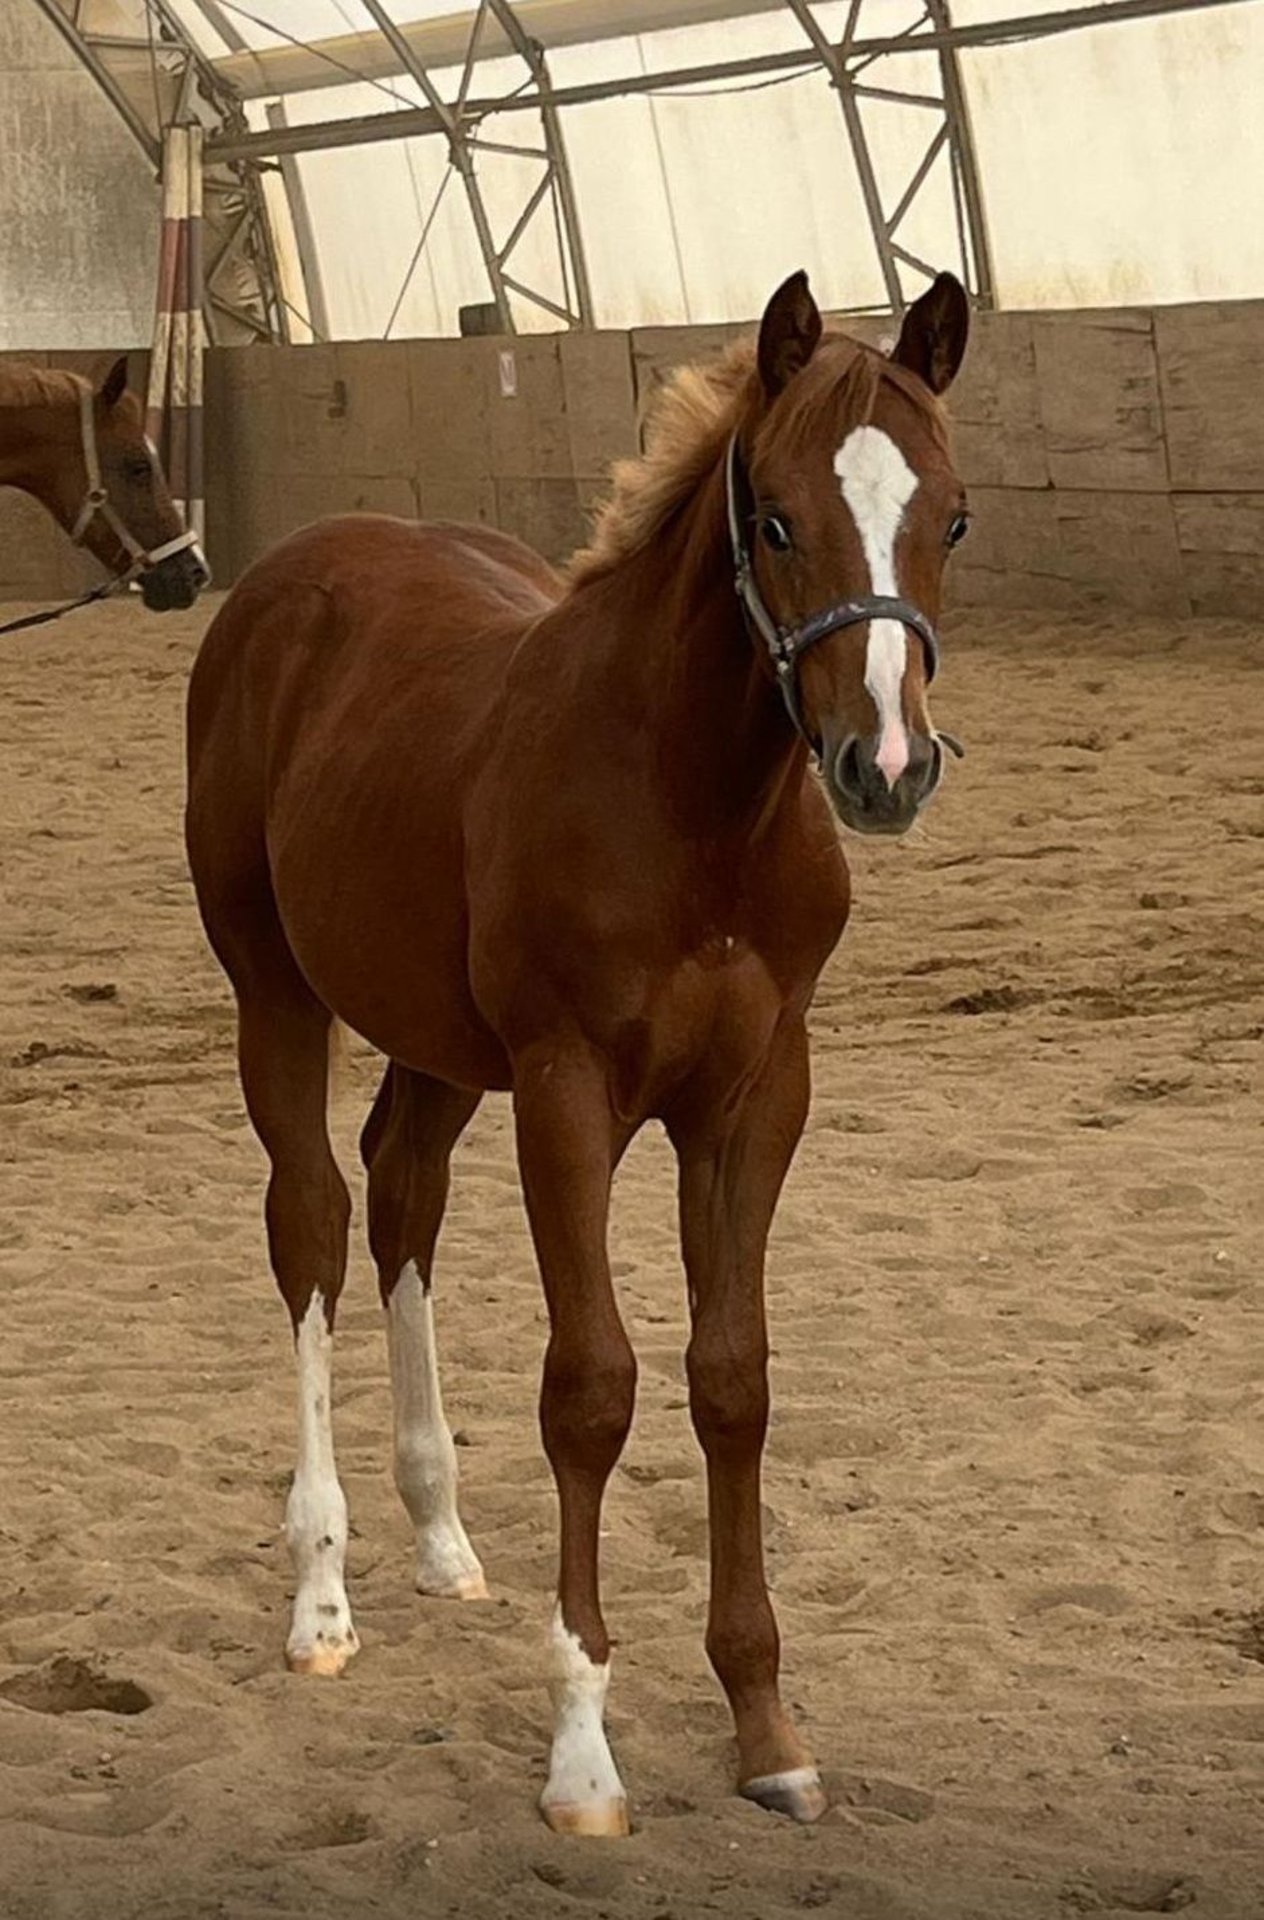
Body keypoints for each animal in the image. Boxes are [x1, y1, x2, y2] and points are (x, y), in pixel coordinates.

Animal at [184, 267, 971, 1836]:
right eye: (774, 518)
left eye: (953, 517)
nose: (885, 770)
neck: (693, 804)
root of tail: (287, 578)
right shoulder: (566, 1091)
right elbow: (592, 1390)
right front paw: (582, 1753)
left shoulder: (755, 1096)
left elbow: (732, 1380)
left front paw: (766, 1730)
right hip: (276, 995)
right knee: (313, 1220)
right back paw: (323, 1599)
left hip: (433, 1037)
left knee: (401, 1192)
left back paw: (441, 1537)